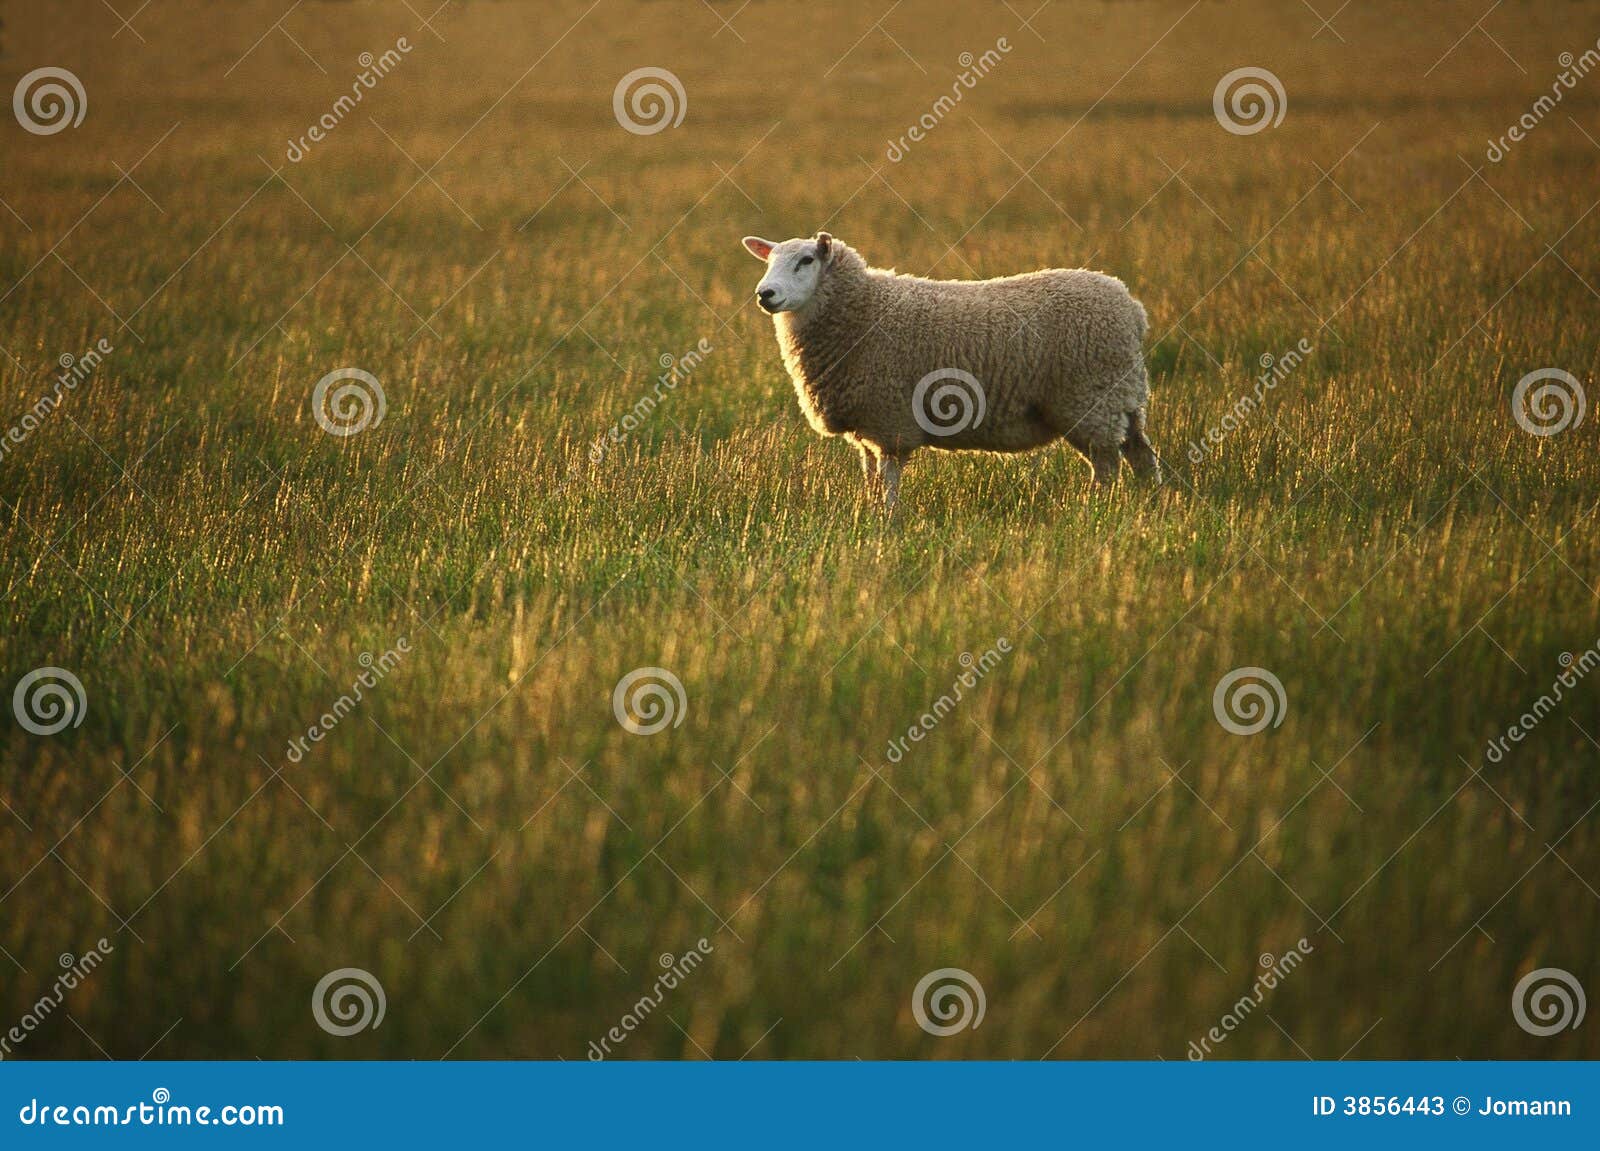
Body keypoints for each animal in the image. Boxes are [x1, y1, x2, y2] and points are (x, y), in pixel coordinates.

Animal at [741, 231, 1159, 514]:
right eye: (768, 261)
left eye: (806, 261)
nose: (765, 294)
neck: (860, 310)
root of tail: (1133, 308)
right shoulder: (867, 427)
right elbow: (871, 478)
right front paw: (870, 513)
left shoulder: (890, 421)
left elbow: (888, 481)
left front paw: (886, 525)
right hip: (1120, 399)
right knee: (1140, 455)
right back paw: (1149, 504)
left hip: (1091, 398)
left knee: (1107, 465)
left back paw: (1095, 511)